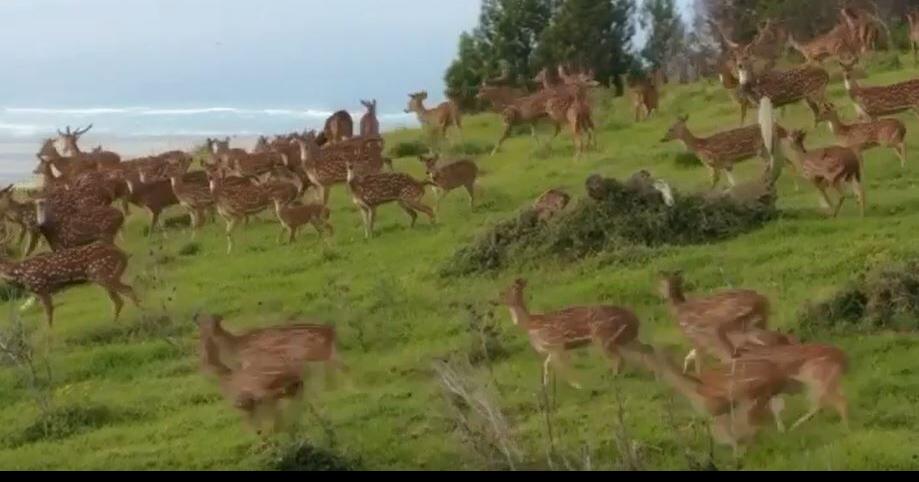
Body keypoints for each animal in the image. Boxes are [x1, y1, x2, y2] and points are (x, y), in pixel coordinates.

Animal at [0, 242, 139, 326]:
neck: (20, 274)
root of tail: (123, 254)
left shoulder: (42, 287)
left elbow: (48, 314)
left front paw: (48, 336)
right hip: (104, 278)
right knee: (118, 300)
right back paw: (113, 322)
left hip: (103, 275)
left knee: (128, 290)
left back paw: (139, 314)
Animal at [499, 278, 653, 389]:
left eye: (509, 290)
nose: (497, 300)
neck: (531, 325)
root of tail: (635, 319)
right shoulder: (551, 349)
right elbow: (547, 366)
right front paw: (545, 387)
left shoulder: (557, 345)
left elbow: (561, 366)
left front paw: (577, 385)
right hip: (625, 337)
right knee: (646, 348)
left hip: (603, 338)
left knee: (620, 359)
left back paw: (614, 378)